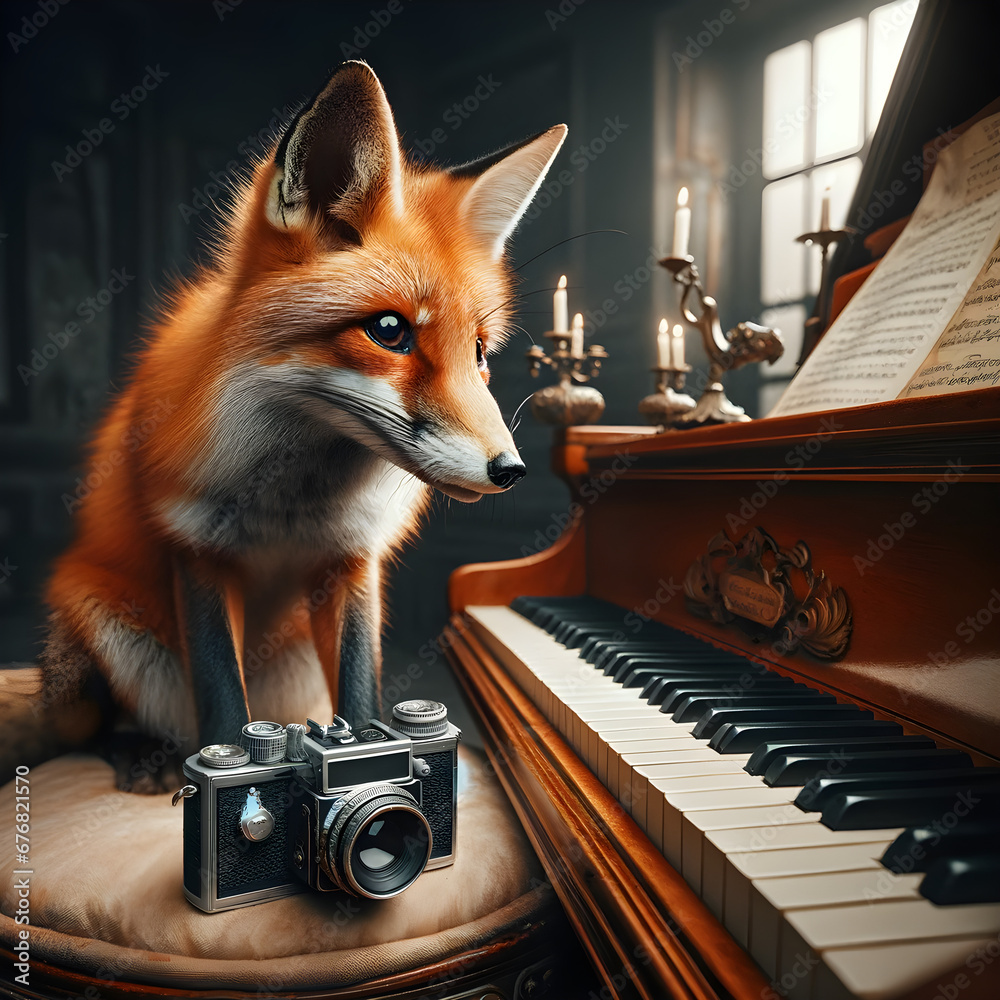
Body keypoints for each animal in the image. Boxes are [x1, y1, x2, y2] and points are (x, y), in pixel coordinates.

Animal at [34, 61, 567, 791]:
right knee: (85, 731)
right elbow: (223, 704)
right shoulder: (196, 550)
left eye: (481, 352)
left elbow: (362, 692)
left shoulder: (352, 561)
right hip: (96, 621)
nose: (511, 470)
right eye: (389, 330)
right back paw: (141, 754)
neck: (294, 508)